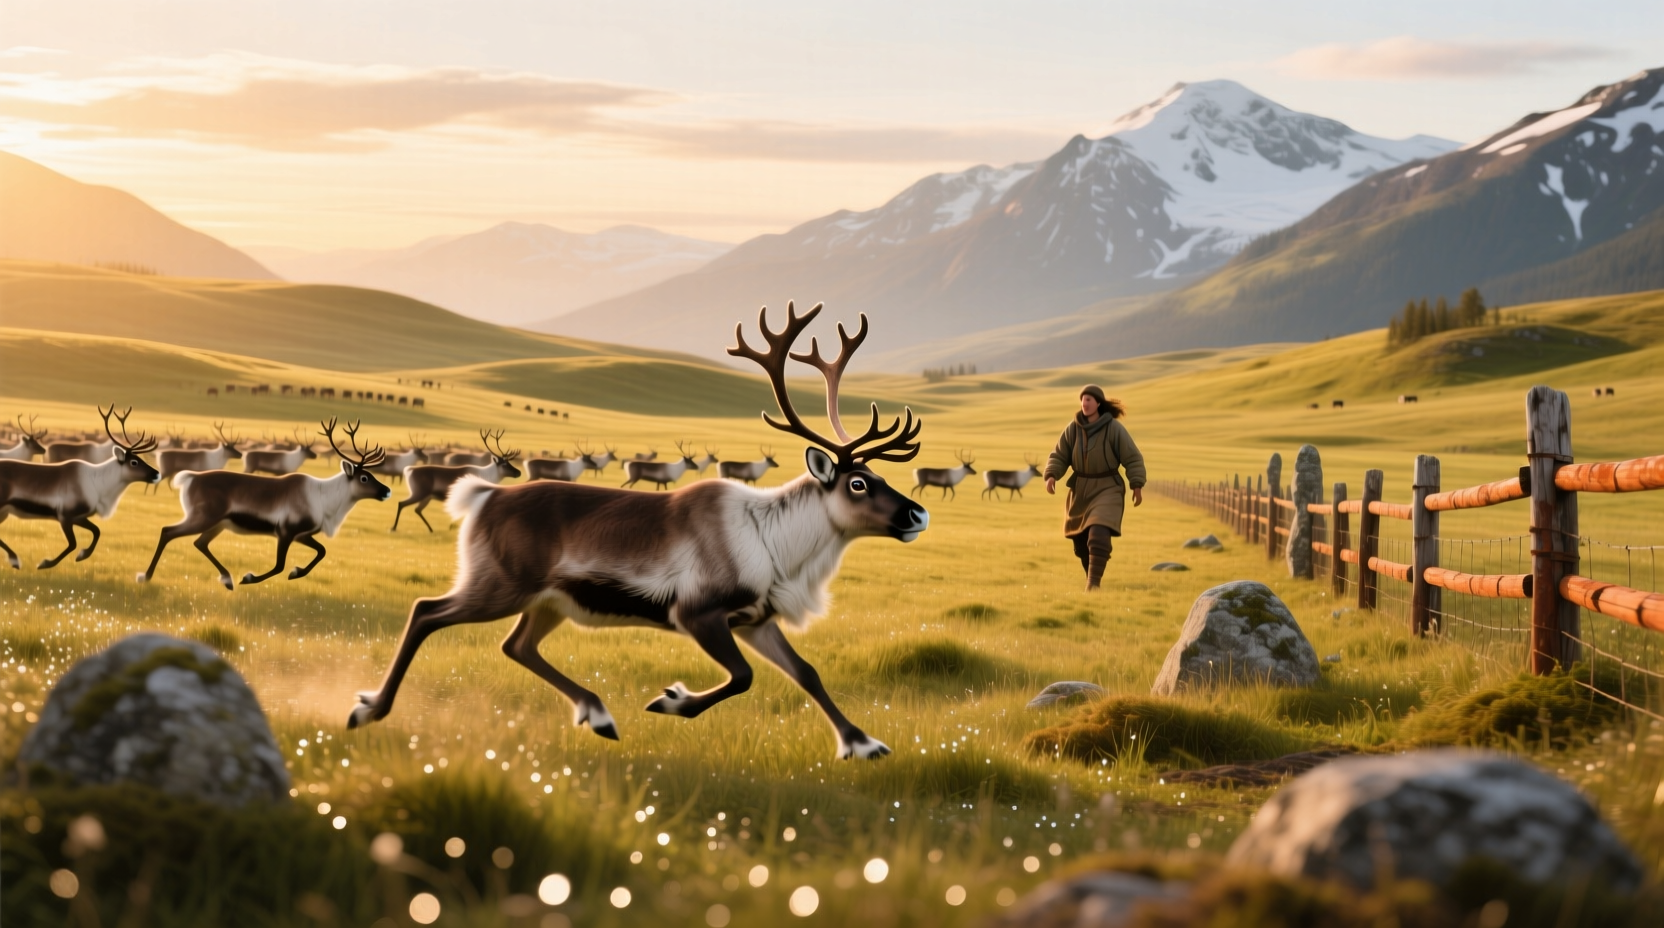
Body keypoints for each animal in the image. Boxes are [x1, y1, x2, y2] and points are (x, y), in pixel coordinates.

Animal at [0, 406, 160, 570]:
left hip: (4, 512)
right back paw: (14, 559)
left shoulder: (80, 516)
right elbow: (73, 544)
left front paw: (83, 555)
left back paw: (14, 559)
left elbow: (97, 531)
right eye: (134, 462)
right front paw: (46, 563)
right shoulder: (65, 516)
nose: (156, 473)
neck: (100, 486)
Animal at [135, 419, 391, 590]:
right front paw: (249, 577)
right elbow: (279, 565)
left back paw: (227, 579)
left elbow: (322, 551)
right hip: (202, 517)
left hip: (218, 524)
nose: (387, 491)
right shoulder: (285, 531)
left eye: (370, 474)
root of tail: (190, 478)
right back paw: (145, 576)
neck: (325, 499)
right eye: (364, 477)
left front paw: (296, 572)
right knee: (168, 531)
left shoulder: (302, 534)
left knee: (200, 543)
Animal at [393, 430, 522, 532]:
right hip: (419, 492)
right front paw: (454, 526)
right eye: (504, 464)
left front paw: (452, 526)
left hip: (427, 496)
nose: (519, 472)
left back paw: (430, 529)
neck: (487, 475)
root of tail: (409, 469)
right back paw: (393, 528)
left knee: (417, 510)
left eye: (509, 462)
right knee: (401, 503)